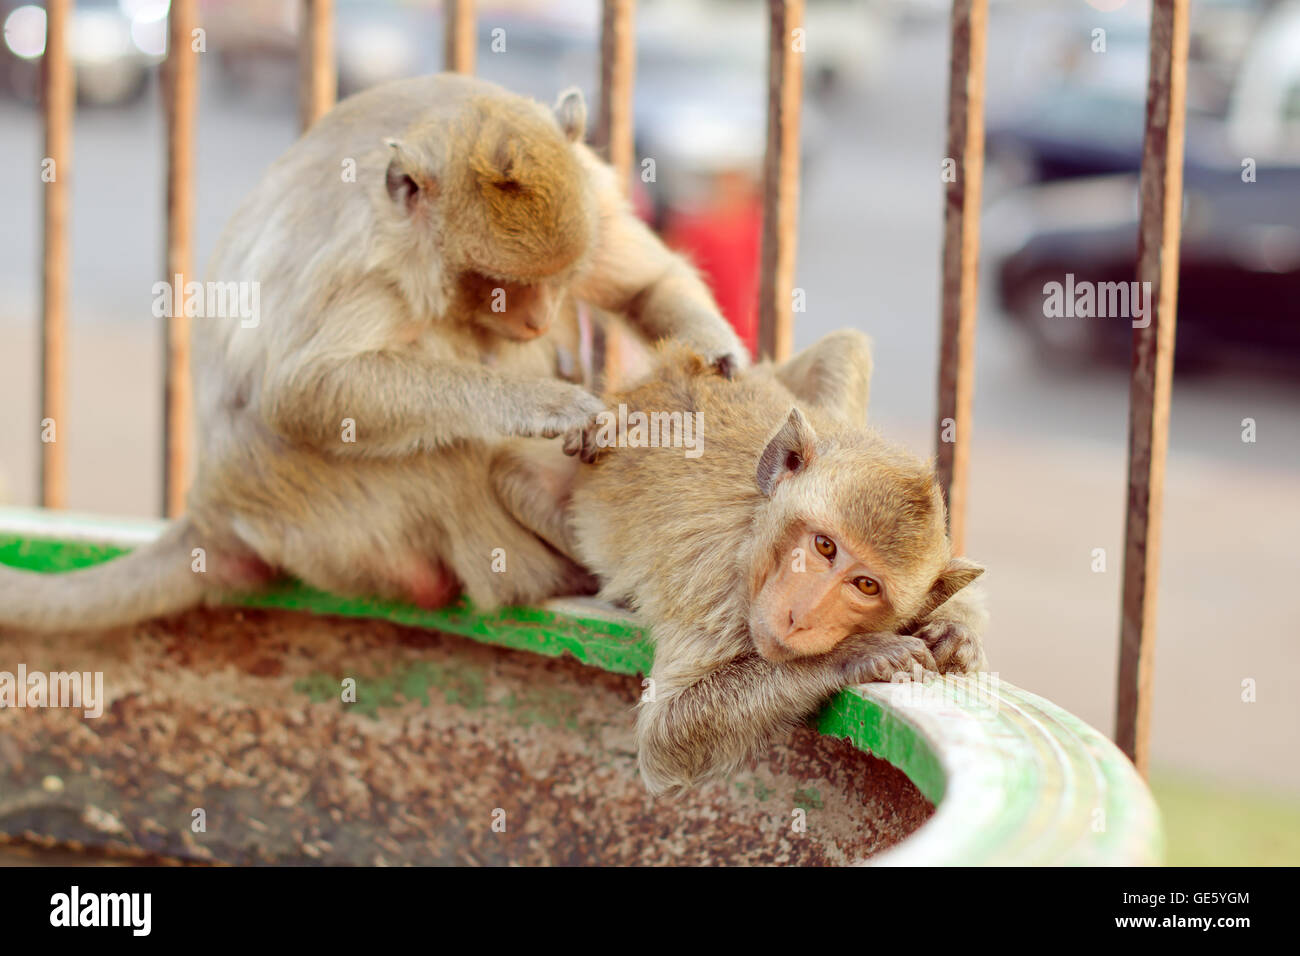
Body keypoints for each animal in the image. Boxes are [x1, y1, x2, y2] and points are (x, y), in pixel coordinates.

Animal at [0, 73, 745, 632]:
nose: (535, 319)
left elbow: (645, 284)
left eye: (556, 278)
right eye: (501, 287)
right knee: (442, 450)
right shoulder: (373, 264)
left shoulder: (591, 198)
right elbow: (307, 390)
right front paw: (548, 405)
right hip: (319, 508)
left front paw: (721, 359)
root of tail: (211, 512)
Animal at [491, 329, 988, 794]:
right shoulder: (714, 583)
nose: (801, 616)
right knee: (513, 473)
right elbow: (666, 734)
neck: (755, 530)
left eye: (867, 585)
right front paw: (856, 654)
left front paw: (954, 630)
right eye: (825, 546)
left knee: (845, 347)